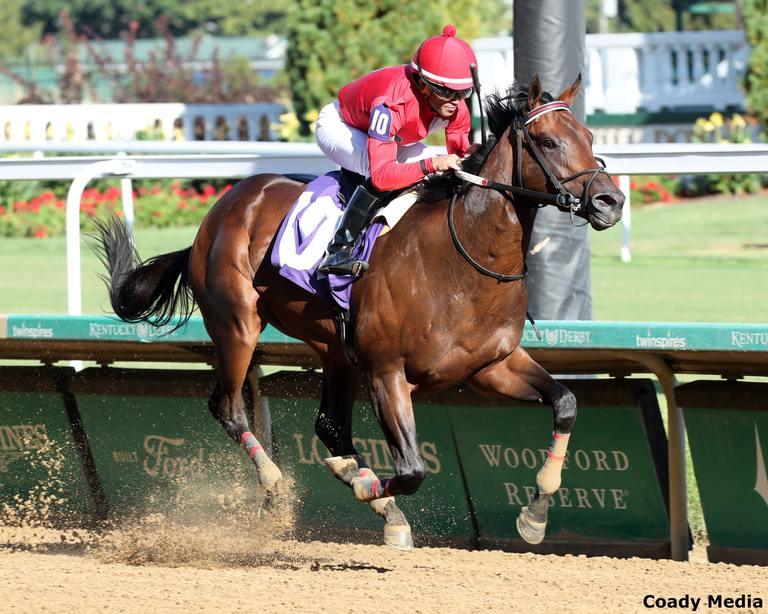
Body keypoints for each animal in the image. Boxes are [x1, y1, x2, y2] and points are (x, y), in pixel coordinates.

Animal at [93, 74, 624, 550]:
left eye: (589, 137)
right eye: (549, 140)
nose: (611, 201)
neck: (465, 258)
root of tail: (222, 208)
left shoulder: (491, 366)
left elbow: (566, 403)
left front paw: (535, 515)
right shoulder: (387, 372)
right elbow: (411, 471)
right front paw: (371, 488)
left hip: (336, 352)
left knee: (329, 427)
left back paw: (361, 486)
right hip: (237, 325)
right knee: (228, 406)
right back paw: (277, 484)